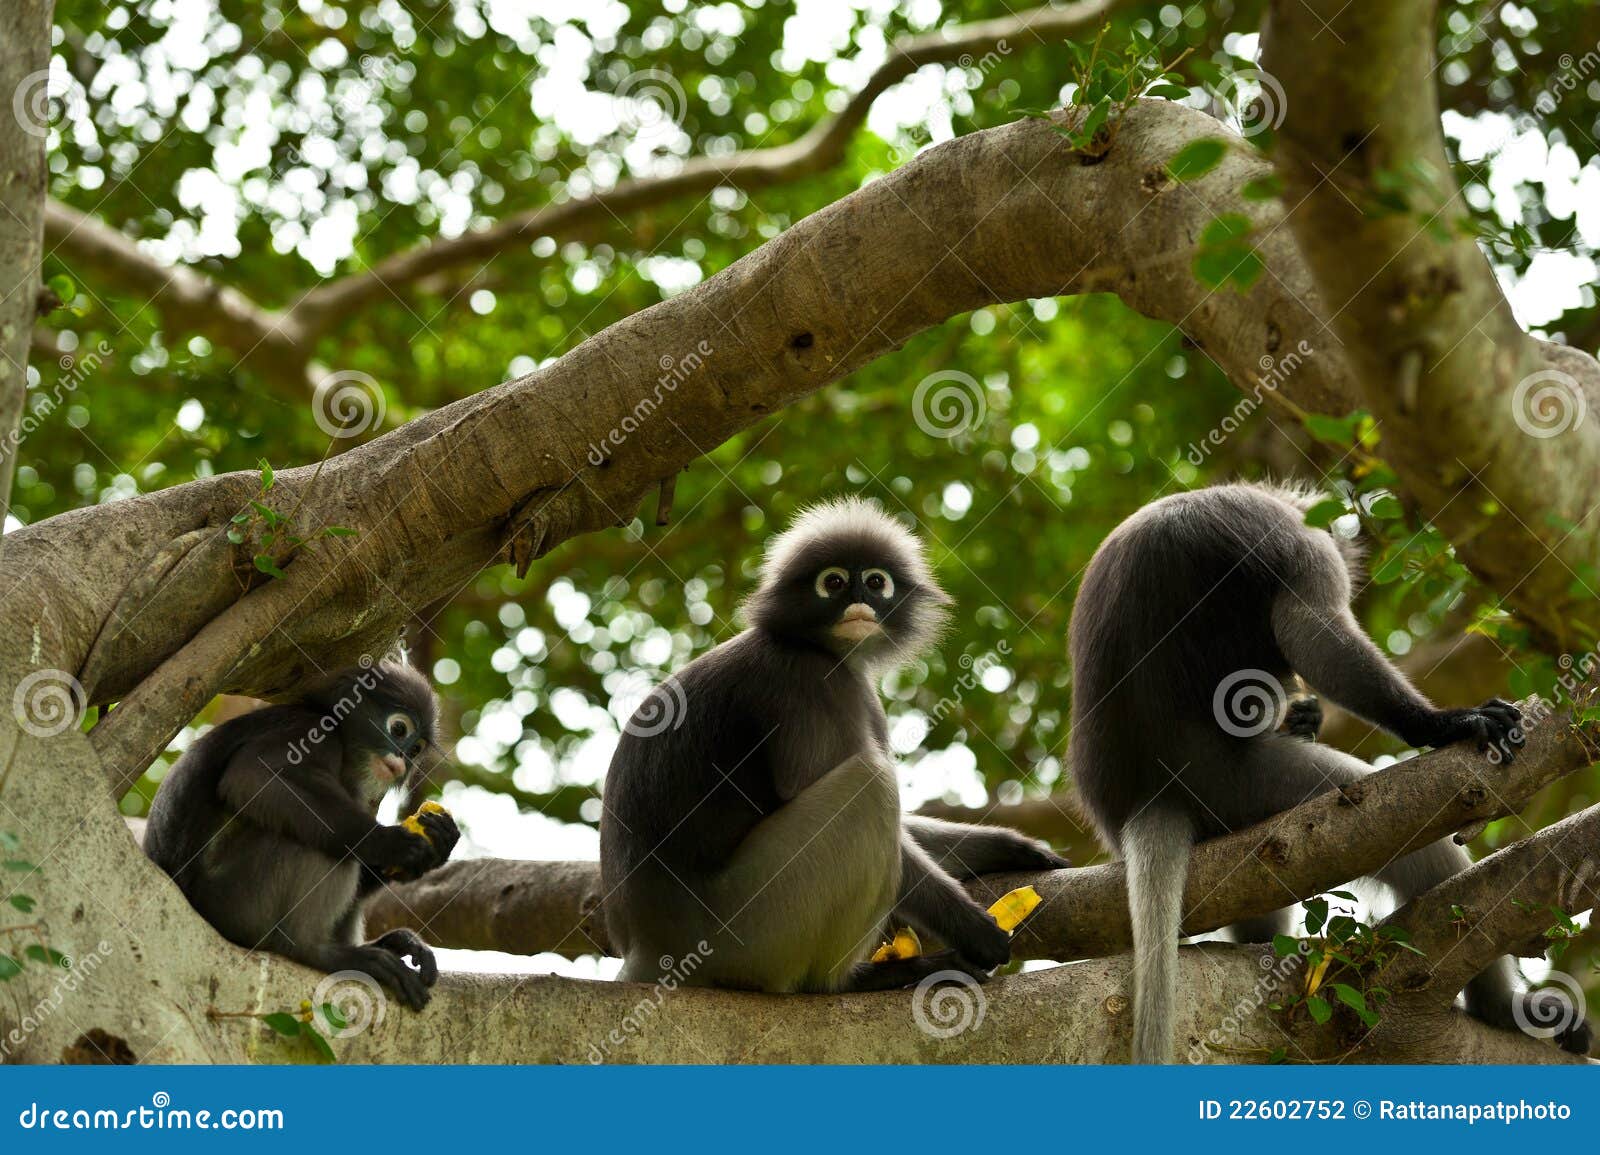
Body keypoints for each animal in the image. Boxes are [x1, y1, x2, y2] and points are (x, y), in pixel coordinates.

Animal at [144, 660, 458, 1011]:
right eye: (399, 729)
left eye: (416, 749)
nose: (401, 761)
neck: (346, 746)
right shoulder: (313, 733)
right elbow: (254, 775)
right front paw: (388, 842)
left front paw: (437, 844)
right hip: (235, 901)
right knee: (318, 843)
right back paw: (318, 951)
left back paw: (387, 944)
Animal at [599, 497, 1069, 994]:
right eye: (835, 583)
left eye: (876, 581)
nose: (859, 601)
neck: (816, 647)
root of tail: (648, 947)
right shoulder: (807, 685)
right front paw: (973, 929)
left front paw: (1013, 846)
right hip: (750, 930)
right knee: (870, 785)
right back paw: (854, 979)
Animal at [1068, 482, 1592, 1062]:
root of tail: (1148, 796)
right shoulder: (1299, 544)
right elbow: (1311, 633)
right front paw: (1442, 724)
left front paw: (1305, 715)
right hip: (1248, 783)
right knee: (1420, 848)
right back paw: (1500, 1010)